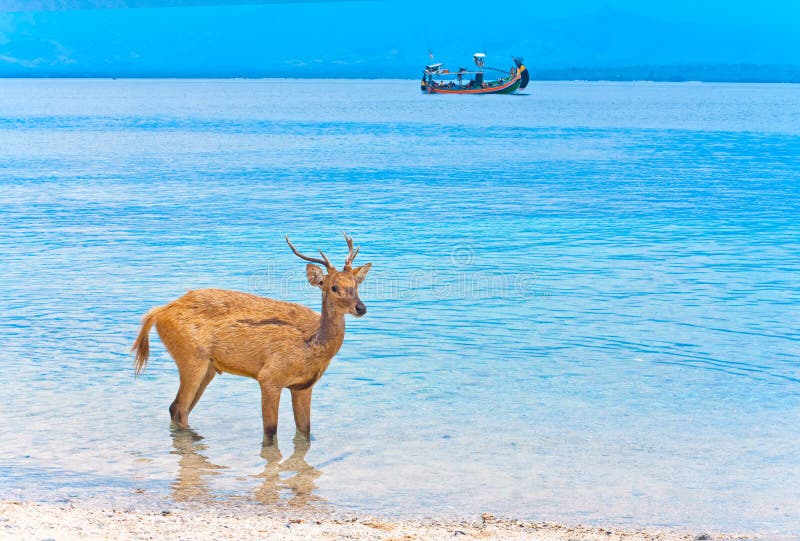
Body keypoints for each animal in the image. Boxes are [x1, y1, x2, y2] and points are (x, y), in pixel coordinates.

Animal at [132, 234, 371, 445]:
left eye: (356, 285)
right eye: (334, 287)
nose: (361, 308)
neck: (310, 347)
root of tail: (158, 312)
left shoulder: (303, 386)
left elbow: (305, 431)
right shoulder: (269, 377)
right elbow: (270, 433)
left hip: (207, 367)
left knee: (178, 409)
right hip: (191, 358)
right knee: (179, 408)